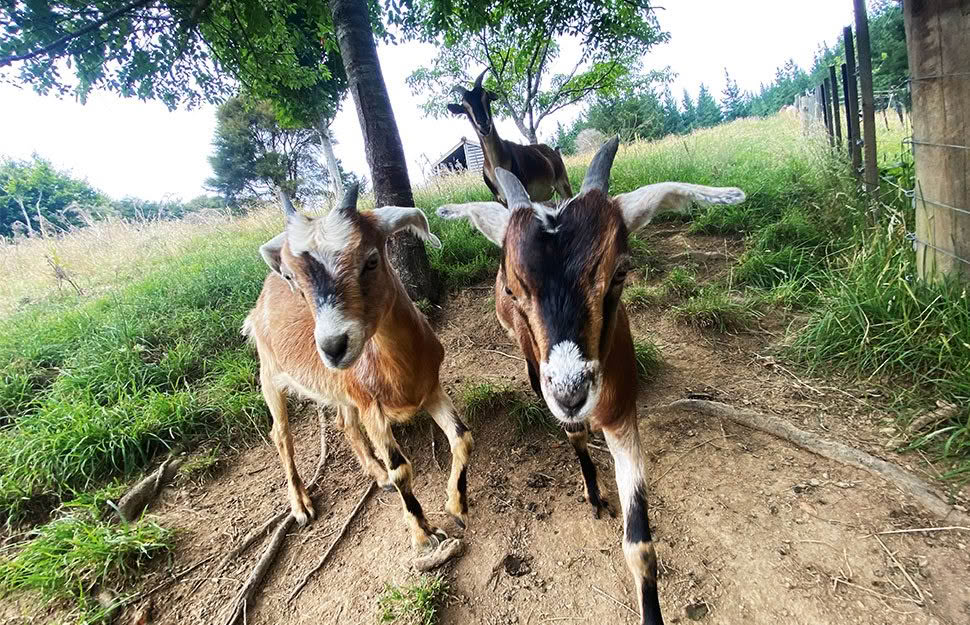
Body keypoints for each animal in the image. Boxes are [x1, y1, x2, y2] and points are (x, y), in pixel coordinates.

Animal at [243, 187, 473, 553]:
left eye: (371, 260)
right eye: (292, 276)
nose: (333, 346)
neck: (400, 370)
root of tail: (263, 294)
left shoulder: (431, 388)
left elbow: (462, 437)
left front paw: (457, 507)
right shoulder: (372, 407)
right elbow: (401, 469)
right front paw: (424, 534)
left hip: (340, 388)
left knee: (343, 422)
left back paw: (376, 475)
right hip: (269, 373)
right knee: (280, 433)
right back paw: (301, 505)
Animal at [436, 138, 745, 625]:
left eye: (620, 271)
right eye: (512, 289)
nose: (570, 393)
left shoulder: (623, 418)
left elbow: (640, 546)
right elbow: (575, 435)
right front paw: (594, 492)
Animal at [448, 69, 573, 205]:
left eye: (486, 97)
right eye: (465, 107)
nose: (484, 125)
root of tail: (554, 151)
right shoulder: (500, 199)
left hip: (563, 182)